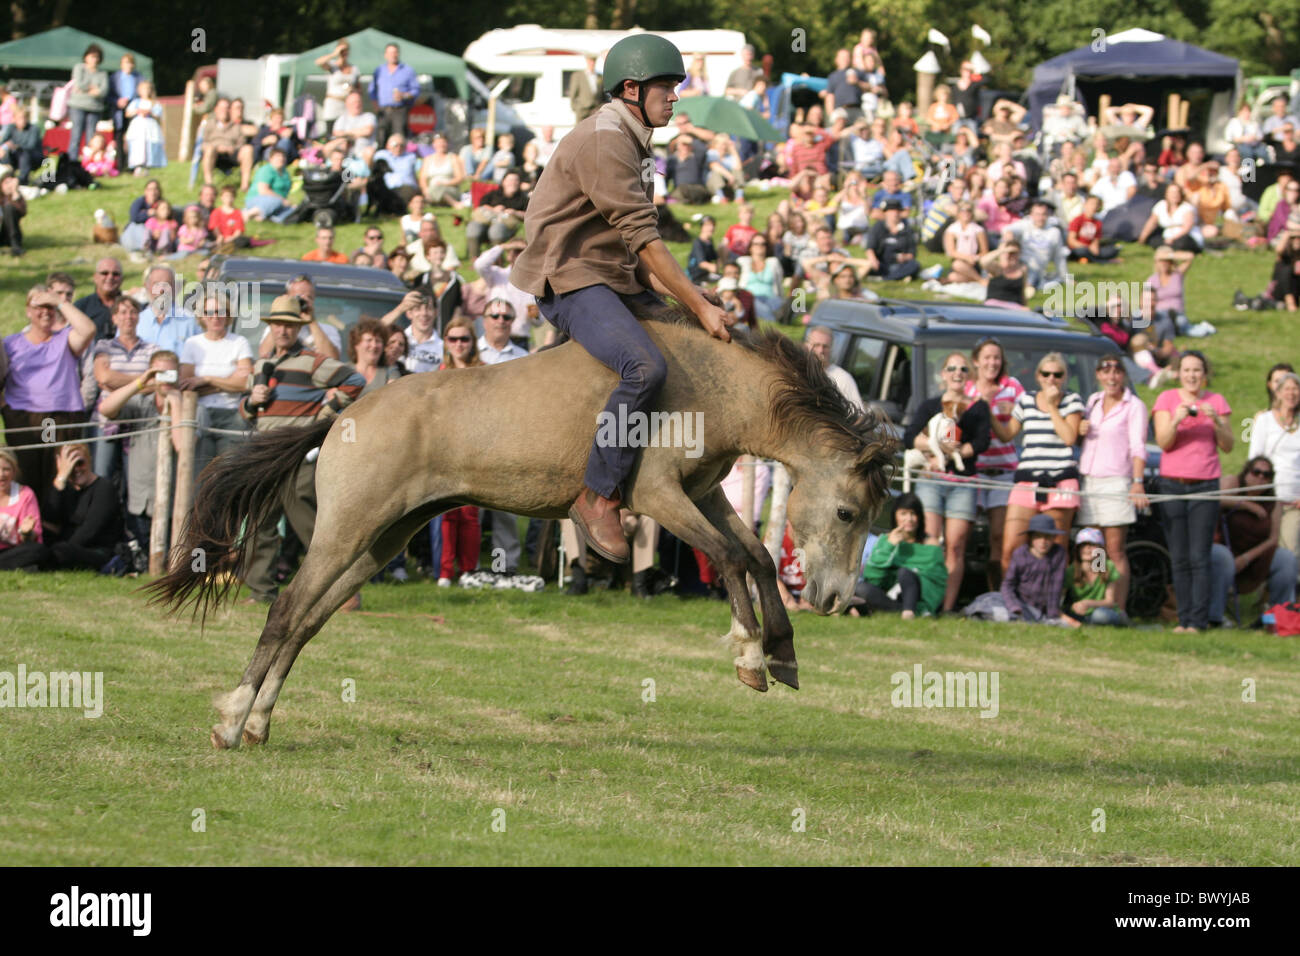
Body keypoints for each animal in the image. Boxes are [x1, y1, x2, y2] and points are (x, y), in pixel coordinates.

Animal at [148, 307, 897, 749]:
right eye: (847, 513)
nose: (836, 598)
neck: (713, 384)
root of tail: (344, 412)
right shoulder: (660, 497)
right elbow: (734, 560)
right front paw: (749, 656)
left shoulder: (704, 493)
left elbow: (756, 558)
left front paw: (784, 652)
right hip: (344, 533)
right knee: (285, 611)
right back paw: (231, 719)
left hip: (378, 542)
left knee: (306, 622)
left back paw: (260, 721)